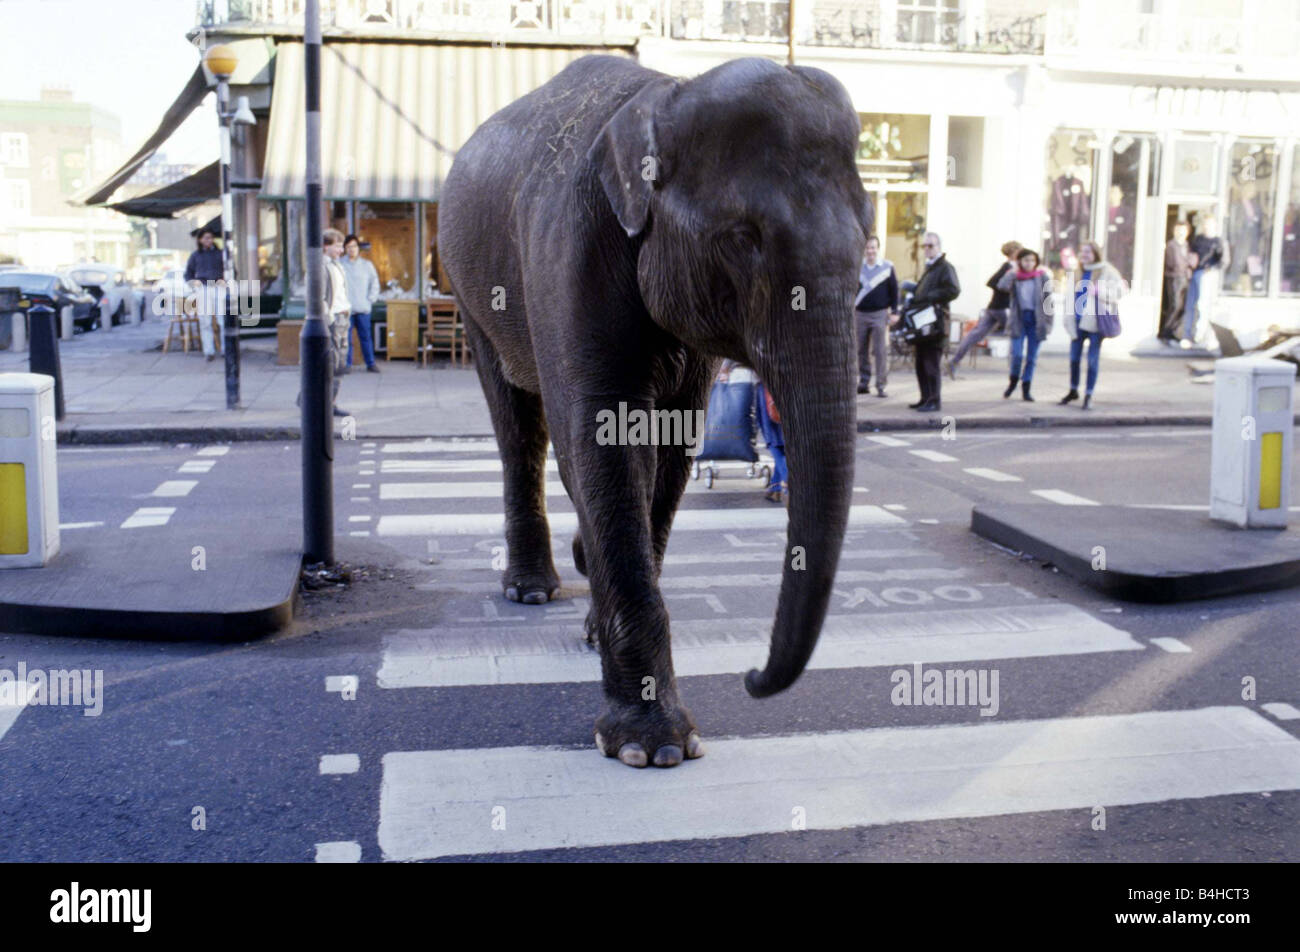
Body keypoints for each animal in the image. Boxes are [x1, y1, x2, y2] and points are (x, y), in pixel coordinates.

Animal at [438, 54, 872, 768]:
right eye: (742, 238)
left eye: (869, 239)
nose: (752, 677)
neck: (664, 95)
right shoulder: (566, 250)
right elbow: (601, 438)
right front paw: (654, 747)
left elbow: (670, 448)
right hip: (471, 295)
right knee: (519, 428)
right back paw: (532, 589)